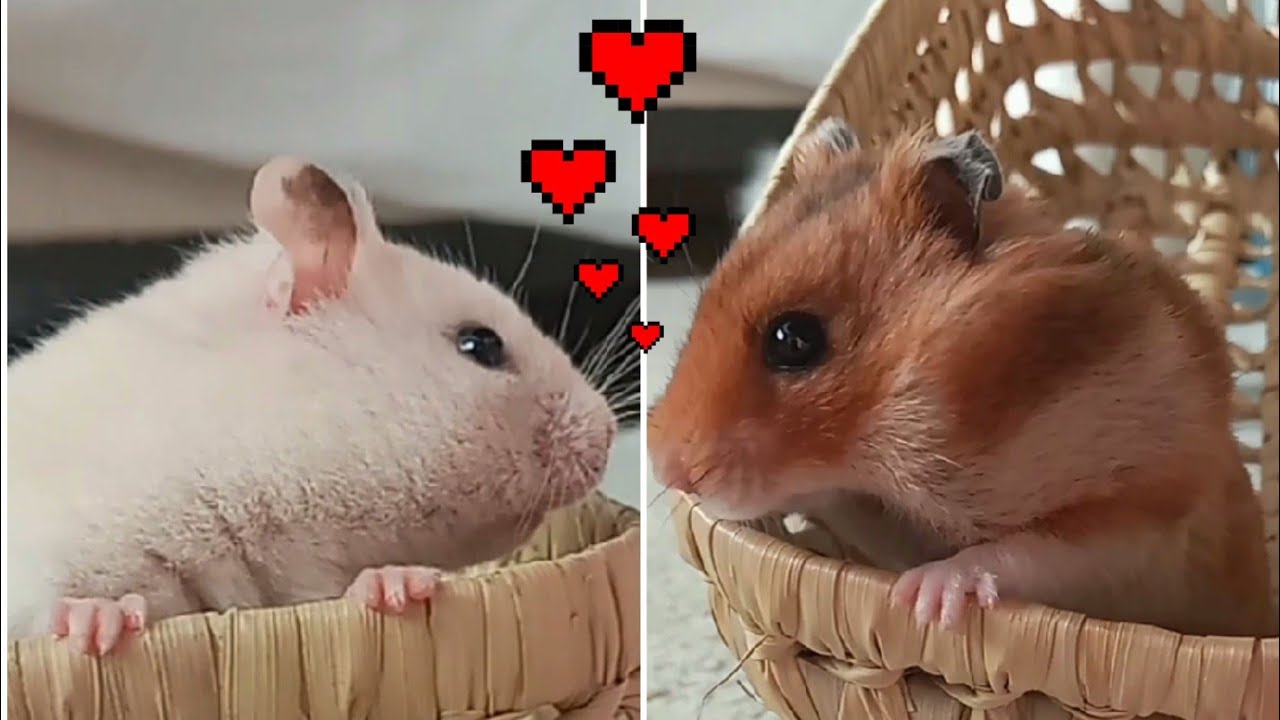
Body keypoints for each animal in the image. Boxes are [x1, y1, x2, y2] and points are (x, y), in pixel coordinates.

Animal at [648, 120, 1276, 638]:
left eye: (794, 340)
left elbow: (1029, 550)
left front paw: (923, 601)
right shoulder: (885, 523)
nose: (667, 470)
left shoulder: (1145, 509)